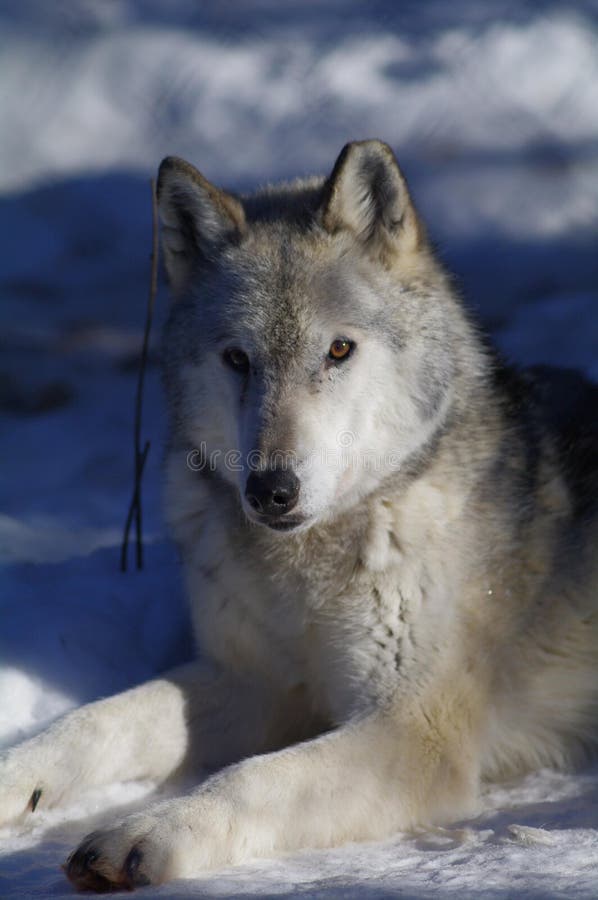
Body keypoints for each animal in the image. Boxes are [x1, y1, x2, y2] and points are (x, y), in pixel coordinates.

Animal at [1, 141, 597, 891]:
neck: (307, 567)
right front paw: (15, 776)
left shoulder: (411, 731)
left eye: (338, 350)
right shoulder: (253, 683)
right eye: (238, 359)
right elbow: (96, 720)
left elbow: (252, 778)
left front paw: (152, 832)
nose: (270, 490)